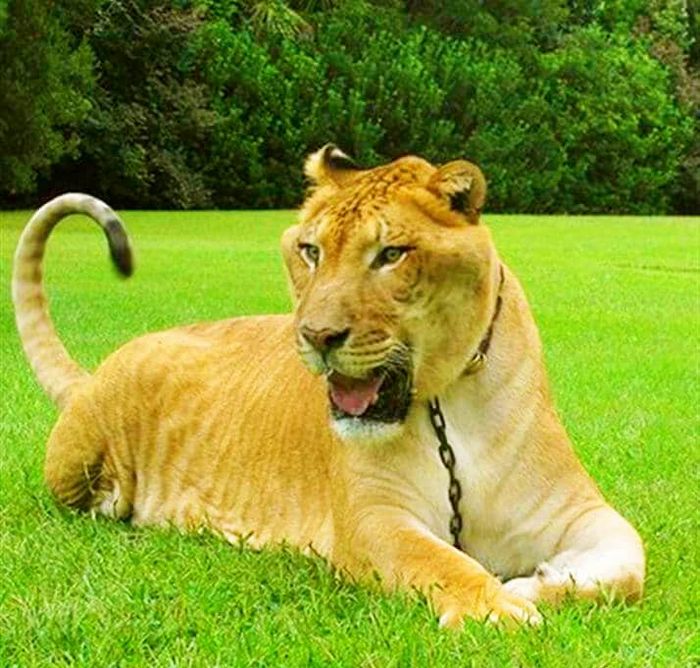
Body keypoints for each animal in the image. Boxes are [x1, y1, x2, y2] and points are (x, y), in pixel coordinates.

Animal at [12, 145, 645, 627]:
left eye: (391, 254)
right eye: (311, 251)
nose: (317, 336)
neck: (449, 403)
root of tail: (92, 377)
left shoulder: (575, 509)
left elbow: (630, 563)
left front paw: (531, 584)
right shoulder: (371, 519)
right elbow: (440, 561)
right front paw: (497, 607)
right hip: (77, 462)